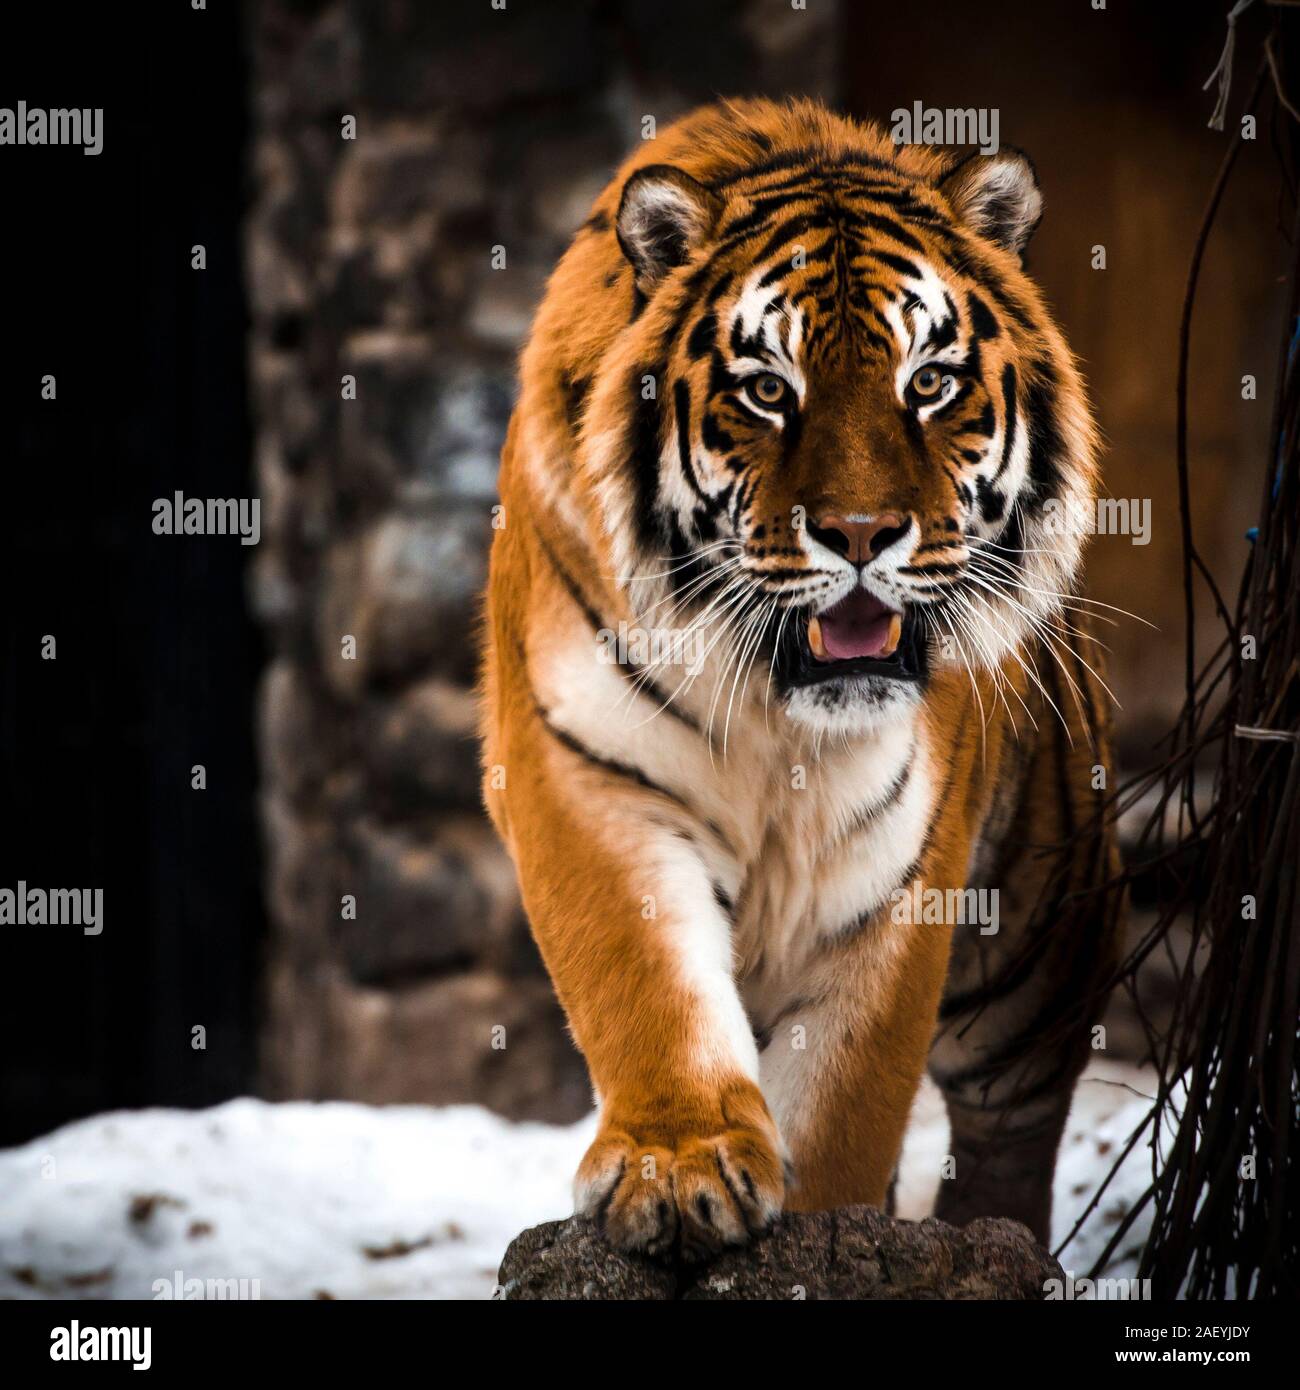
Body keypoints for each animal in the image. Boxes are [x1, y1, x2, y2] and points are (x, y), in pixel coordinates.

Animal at [480, 97, 1122, 1260]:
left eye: (929, 382)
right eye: (769, 391)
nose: (861, 533)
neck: (779, 716)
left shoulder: (904, 864)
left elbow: (843, 1097)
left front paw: (822, 1225)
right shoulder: (584, 777)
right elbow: (645, 983)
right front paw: (676, 1170)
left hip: (1040, 937)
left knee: (1012, 1126)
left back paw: (993, 1238)